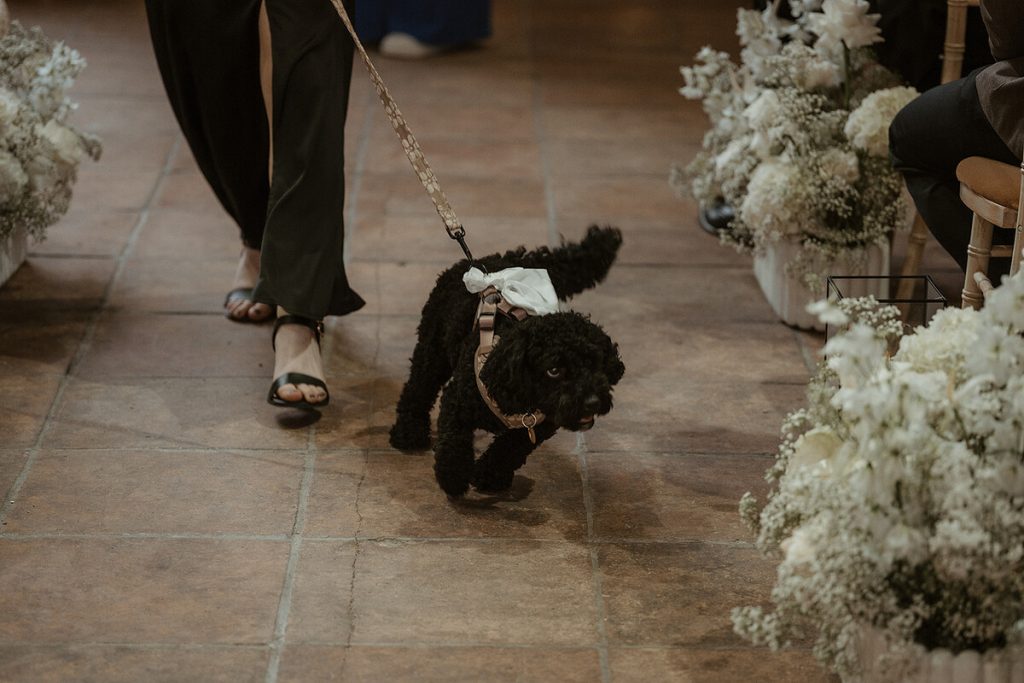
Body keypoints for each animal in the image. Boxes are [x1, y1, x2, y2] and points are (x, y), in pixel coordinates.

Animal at [387, 227, 622, 499]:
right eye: (553, 370)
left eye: (595, 362)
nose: (592, 401)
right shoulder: (457, 401)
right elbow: (454, 441)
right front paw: (453, 477)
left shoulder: (538, 426)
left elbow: (510, 449)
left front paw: (490, 476)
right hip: (433, 349)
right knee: (418, 387)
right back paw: (408, 432)